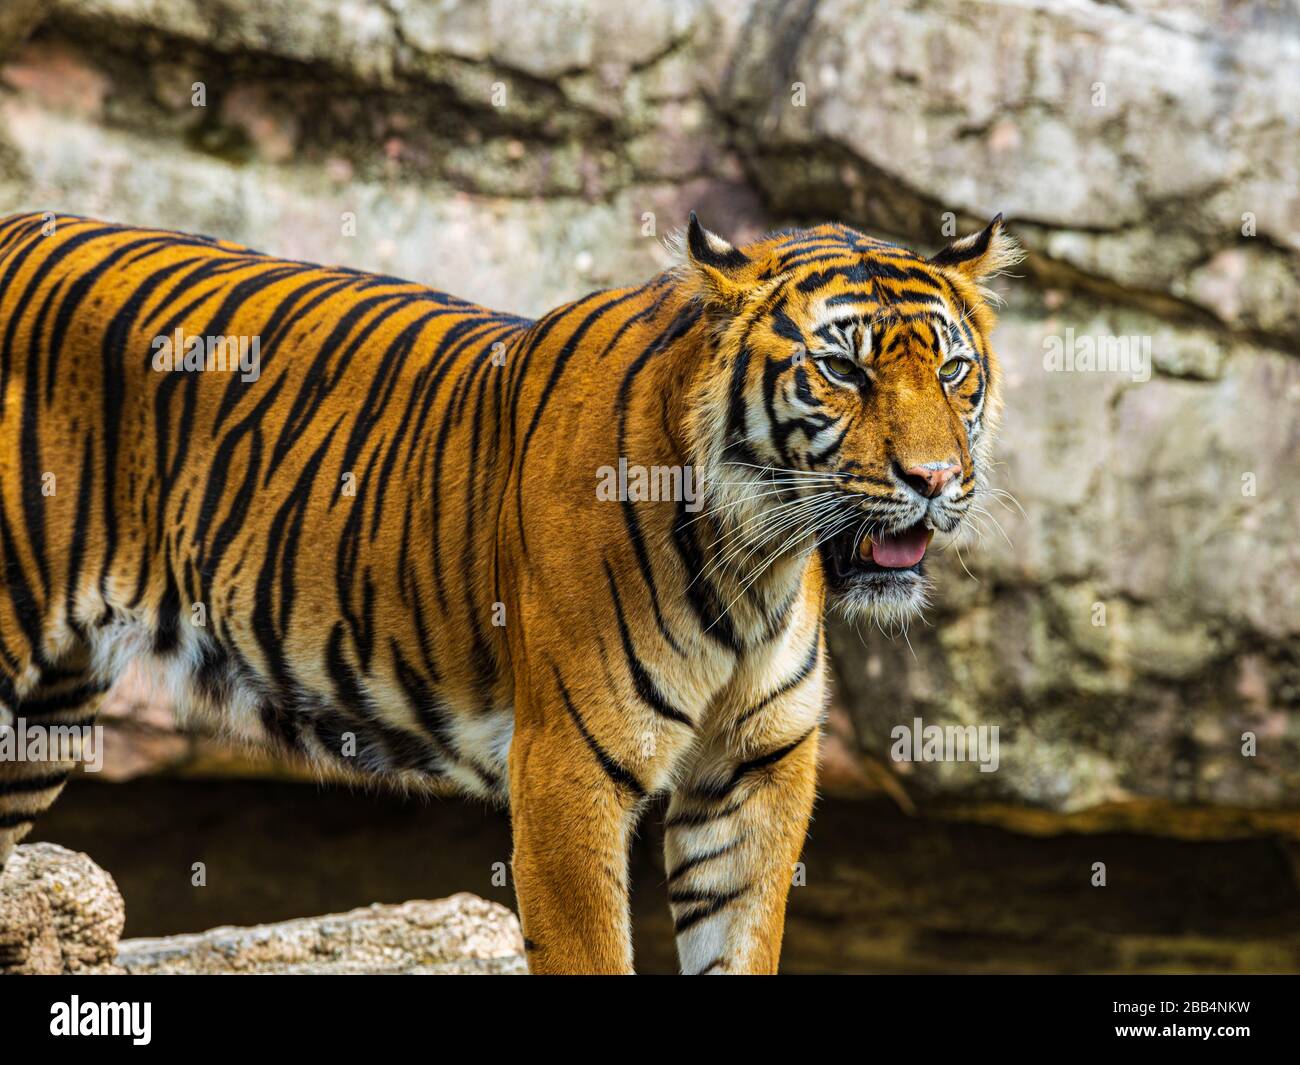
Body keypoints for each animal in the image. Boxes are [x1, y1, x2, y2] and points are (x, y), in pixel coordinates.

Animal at [0, 209, 1018, 974]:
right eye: (842, 369)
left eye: (953, 369)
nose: (935, 479)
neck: (754, 559)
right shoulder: (570, 766)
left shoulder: (756, 769)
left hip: (46, 714)